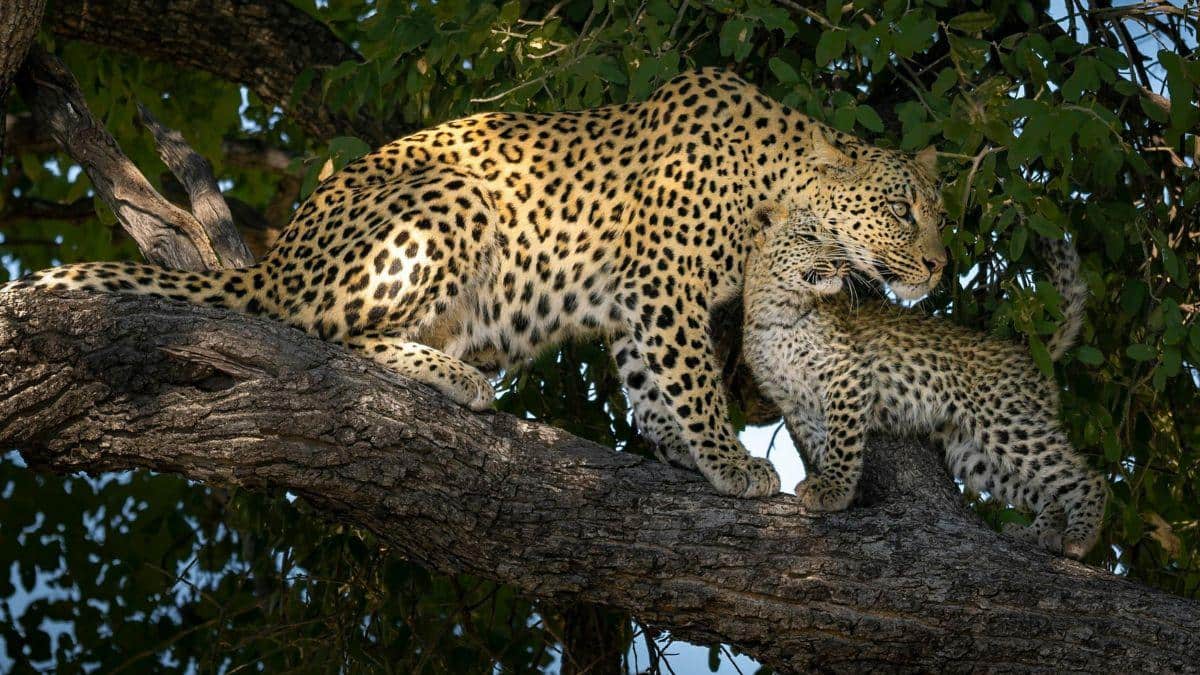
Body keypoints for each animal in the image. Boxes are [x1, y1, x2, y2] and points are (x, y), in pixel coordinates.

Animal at [5, 68, 948, 499]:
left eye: (938, 213)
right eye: (902, 210)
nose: (940, 265)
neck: (774, 187)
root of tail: (278, 257)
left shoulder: (635, 302)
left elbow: (650, 385)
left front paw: (680, 453)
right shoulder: (663, 280)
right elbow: (690, 377)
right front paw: (727, 461)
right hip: (448, 198)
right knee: (323, 332)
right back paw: (452, 377)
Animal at [742, 205, 1107, 558]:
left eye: (838, 242)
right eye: (808, 237)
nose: (838, 263)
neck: (775, 310)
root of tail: (1029, 353)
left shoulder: (847, 373)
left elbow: (842, 441)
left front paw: (833, 489)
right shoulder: (795, 402)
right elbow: (821, 443)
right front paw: (841, 491)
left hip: (1008, 421)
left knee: (1088, 478)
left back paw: (1078, 538)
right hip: (972, 452)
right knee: (1047, 491)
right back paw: (1037, 535)